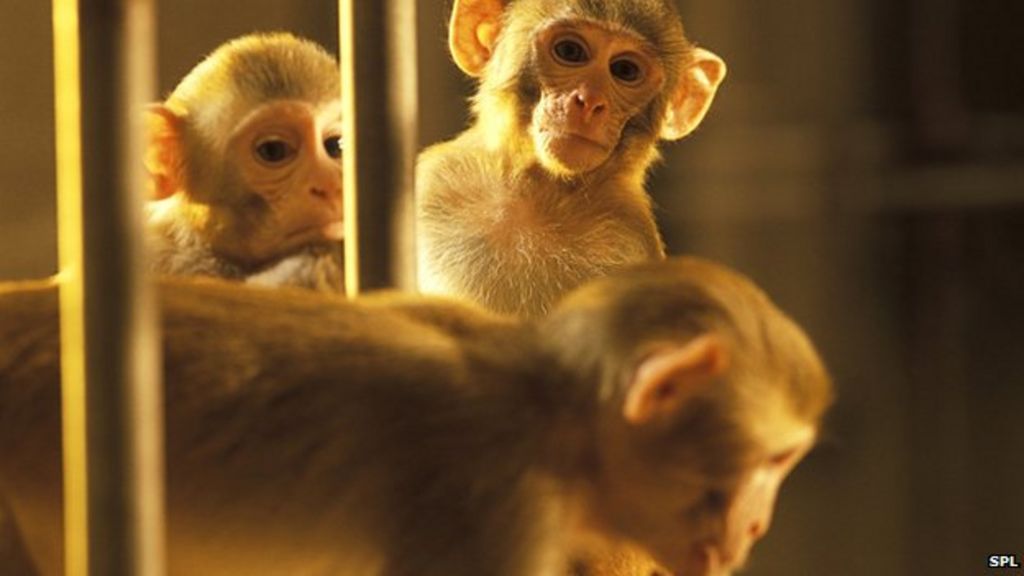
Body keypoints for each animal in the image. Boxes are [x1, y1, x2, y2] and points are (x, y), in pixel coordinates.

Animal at [416, 0, 727, 317]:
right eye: (570, 52)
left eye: (625, 70)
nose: (589, 102)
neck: (540, 192)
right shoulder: (438, 179)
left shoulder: (630, 235)